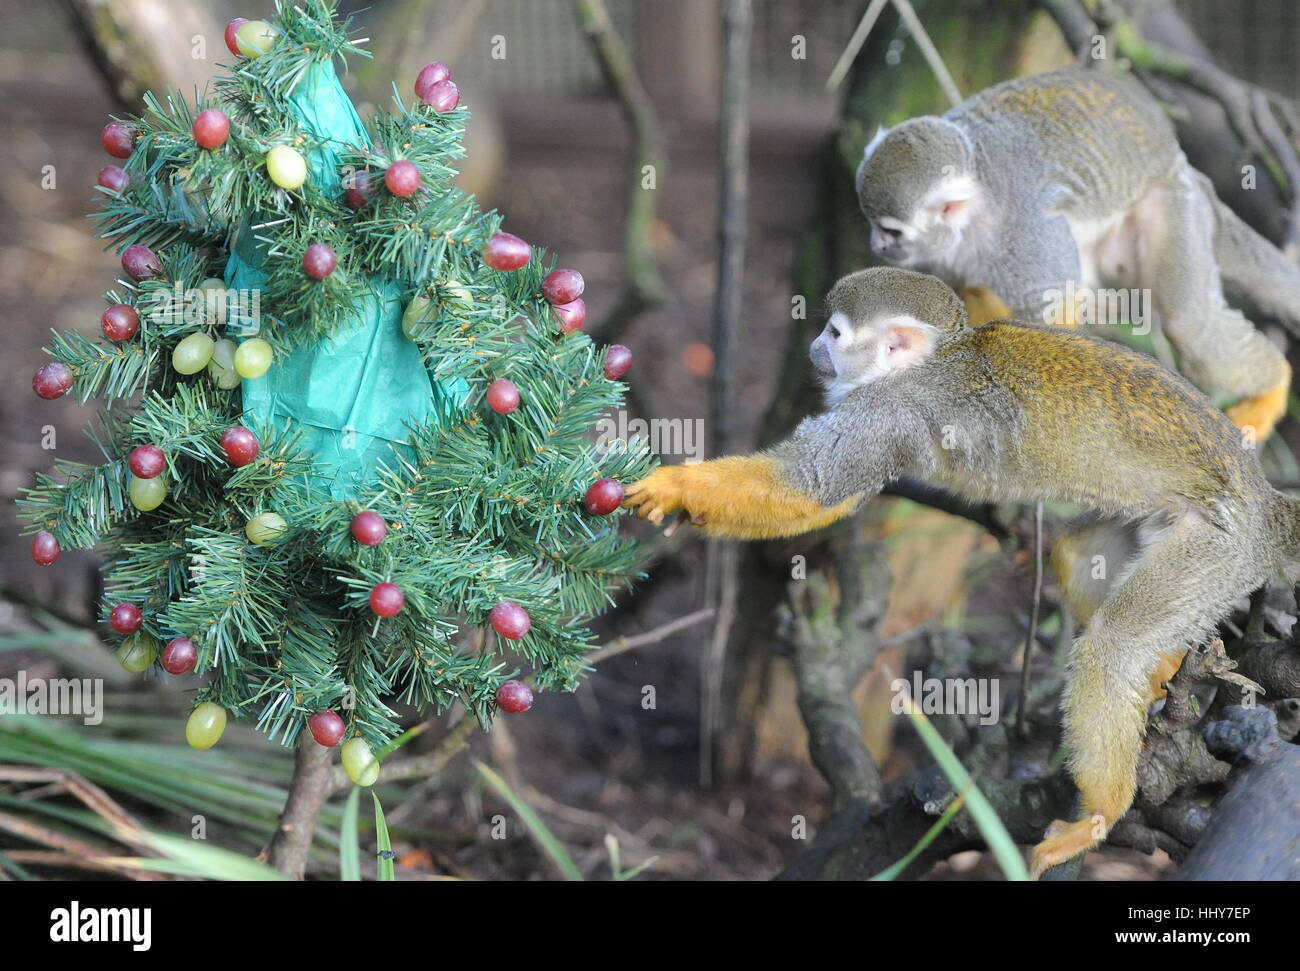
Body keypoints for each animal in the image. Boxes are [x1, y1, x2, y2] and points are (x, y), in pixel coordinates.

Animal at [624, 267, 1300, 877]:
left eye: (835, 333)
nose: (815, 347)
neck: (934, 361)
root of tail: (1265, 504)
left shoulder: (889, 409)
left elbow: (813, 488)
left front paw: (674, 484)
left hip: (1219, 549)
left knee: (1113, 645)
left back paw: (1101, 812)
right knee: (1076, 557)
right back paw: (1160, 676)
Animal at [854, 66, 1300, 439]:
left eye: (891, 231)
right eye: (872, 223)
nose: (877, 244)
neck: (972, 219)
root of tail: (1184, 166)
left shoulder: (1026, 234)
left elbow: (1056, 310)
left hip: (1172, 200)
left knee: (1189, 323)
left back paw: (1273, 386)